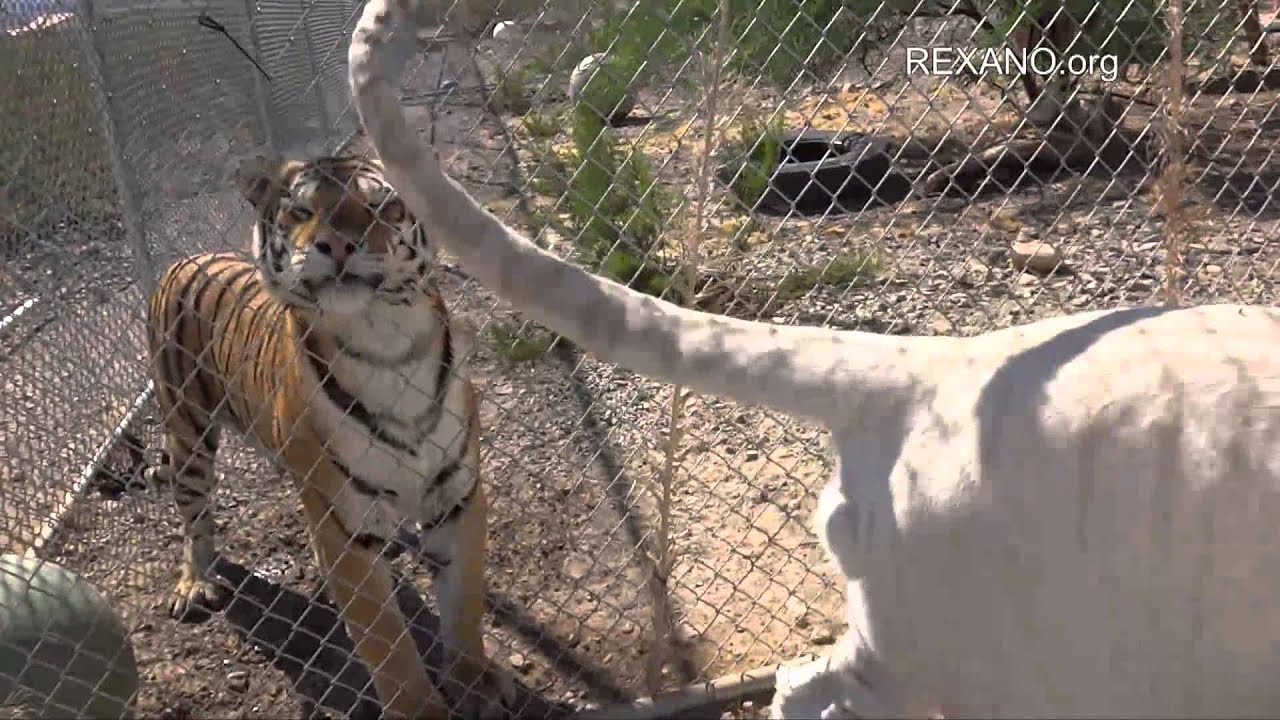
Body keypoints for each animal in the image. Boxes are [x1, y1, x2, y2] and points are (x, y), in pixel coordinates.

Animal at [144, 152, 514, 719]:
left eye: (382, 206)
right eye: (300, 211)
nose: (338, 244)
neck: (387, 346)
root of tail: (187, 258)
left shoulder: (456, 496)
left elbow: (464, 605)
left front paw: (476, 685)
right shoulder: (343, 528)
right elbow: (386, 641)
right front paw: (420, 709)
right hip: (187, 430)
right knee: (193, 515)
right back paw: (195, 582)